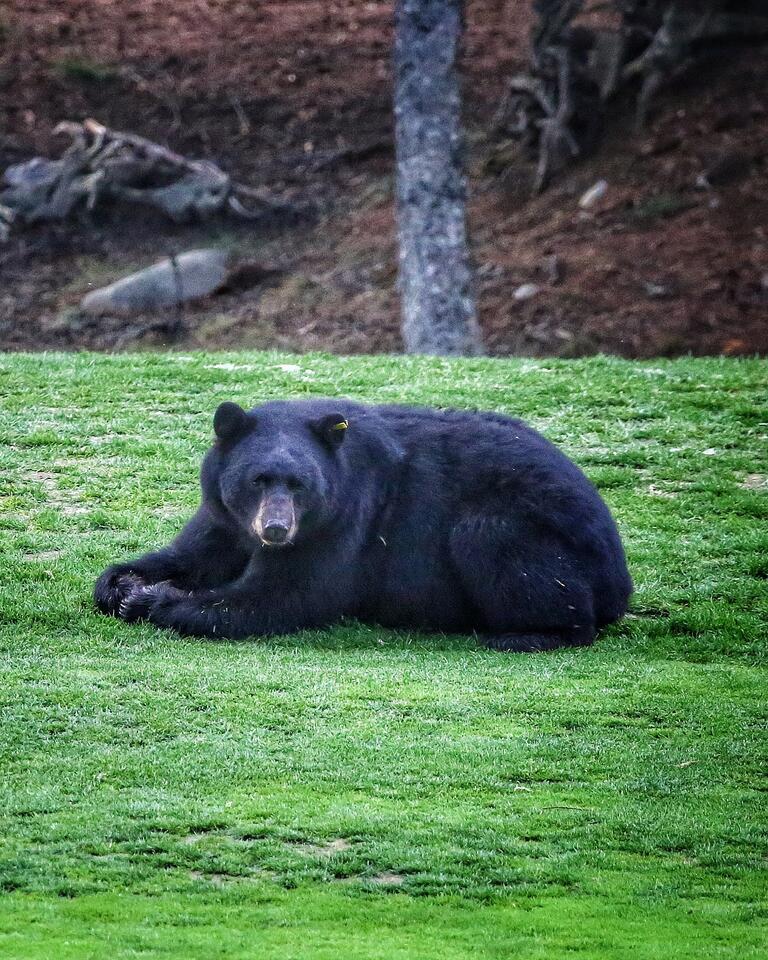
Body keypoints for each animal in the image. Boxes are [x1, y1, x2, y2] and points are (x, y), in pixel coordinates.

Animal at [94, 398, 632, 652]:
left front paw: (154, 600)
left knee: (497, 543)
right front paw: (122, 583)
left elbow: (288, 594)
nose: (275, 530)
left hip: (539, 531)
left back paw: (524, 634)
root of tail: (620, 577)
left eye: (299, 484)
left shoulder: (343, 515)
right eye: (257, 479)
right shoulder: (226, 513)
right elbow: (195, 554)